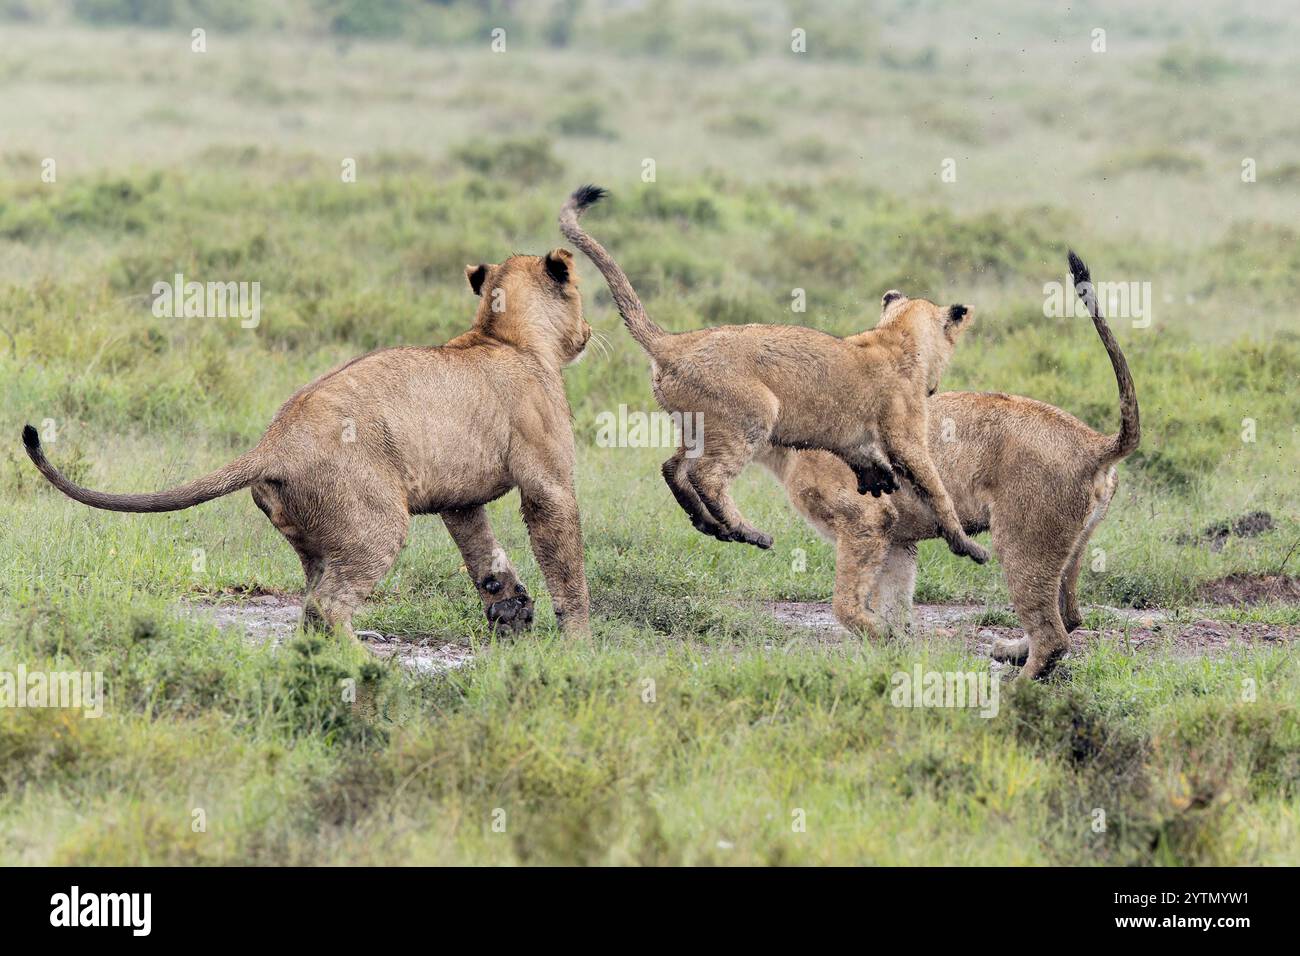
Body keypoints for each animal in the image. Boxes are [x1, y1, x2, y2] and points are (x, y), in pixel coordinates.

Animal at [23, 249, 594, 638]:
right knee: (329, 606)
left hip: (317, 539)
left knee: (309, 605)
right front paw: (577, 644)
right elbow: (565, 563)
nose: (589, 330)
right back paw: (364, 669)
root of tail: (274, 441)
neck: (506, 336)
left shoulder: (458, 497)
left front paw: (512, 610)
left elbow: (484, 552)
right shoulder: (547, 481)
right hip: (375, 525)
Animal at [559, 185, 988, 565]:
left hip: (697, 424)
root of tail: (674, 342)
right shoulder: (906, 437)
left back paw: (712, 527)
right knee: (706, 475)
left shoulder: (852, 434)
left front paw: (877, 478)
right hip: (752, 414)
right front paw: (967, 545)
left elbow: (863, 452)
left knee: (673, 468)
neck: (895, 335)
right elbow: (937, 491)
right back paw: (747, 532)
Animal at [757, 251, 1139, 680]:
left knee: (1053, 634)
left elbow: (846, 604)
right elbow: (895, 602)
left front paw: (881, 640)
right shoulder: (896, 538)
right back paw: (1010, 651)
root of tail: (1095, 444)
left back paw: (1014, 681)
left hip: (1024, 541)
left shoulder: (865, 518)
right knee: (1069, 616)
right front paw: (895, 650)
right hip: (1071, 548)